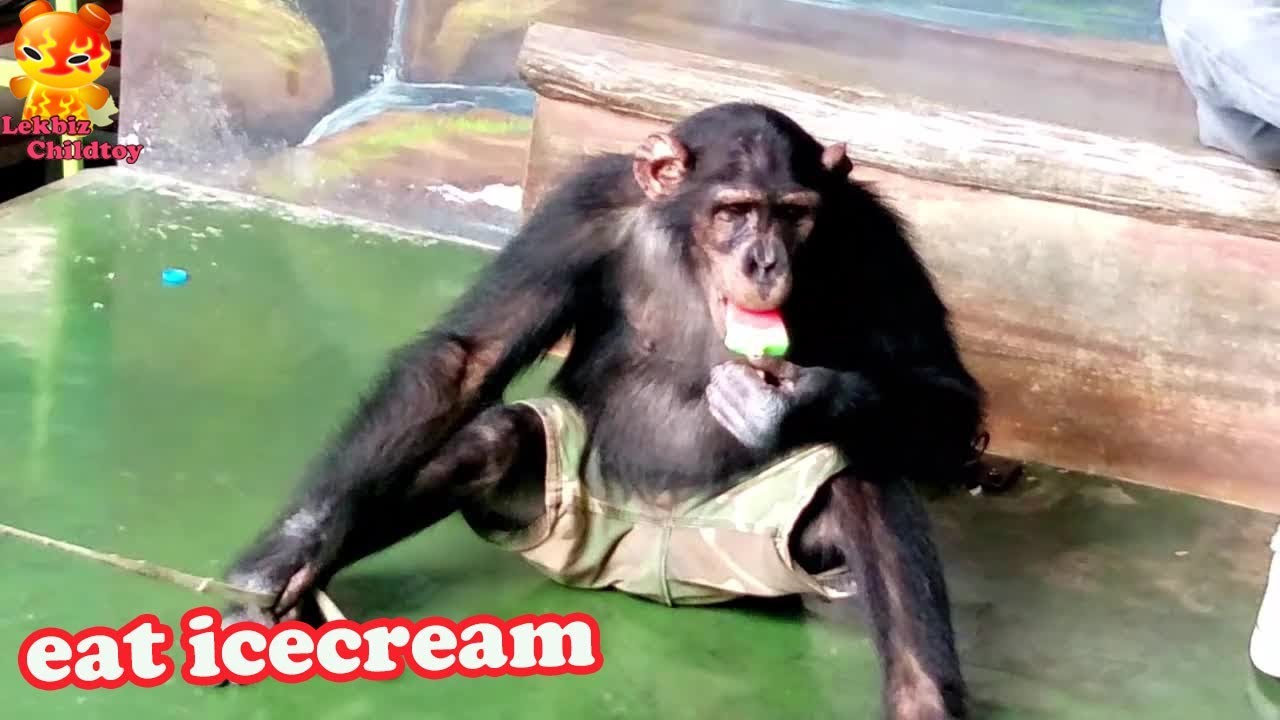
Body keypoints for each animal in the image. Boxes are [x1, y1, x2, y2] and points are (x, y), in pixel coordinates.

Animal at [223, 103, 987, 720]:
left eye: (795, 214)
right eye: (734, 211)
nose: (766, 260)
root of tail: (647, 573)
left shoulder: (872, 237)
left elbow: (945, 394)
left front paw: (795, 402)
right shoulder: (580, 214)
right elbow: (469, 357)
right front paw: (289, 553)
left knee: (865, 480)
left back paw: (921, 700)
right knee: (498, 436)